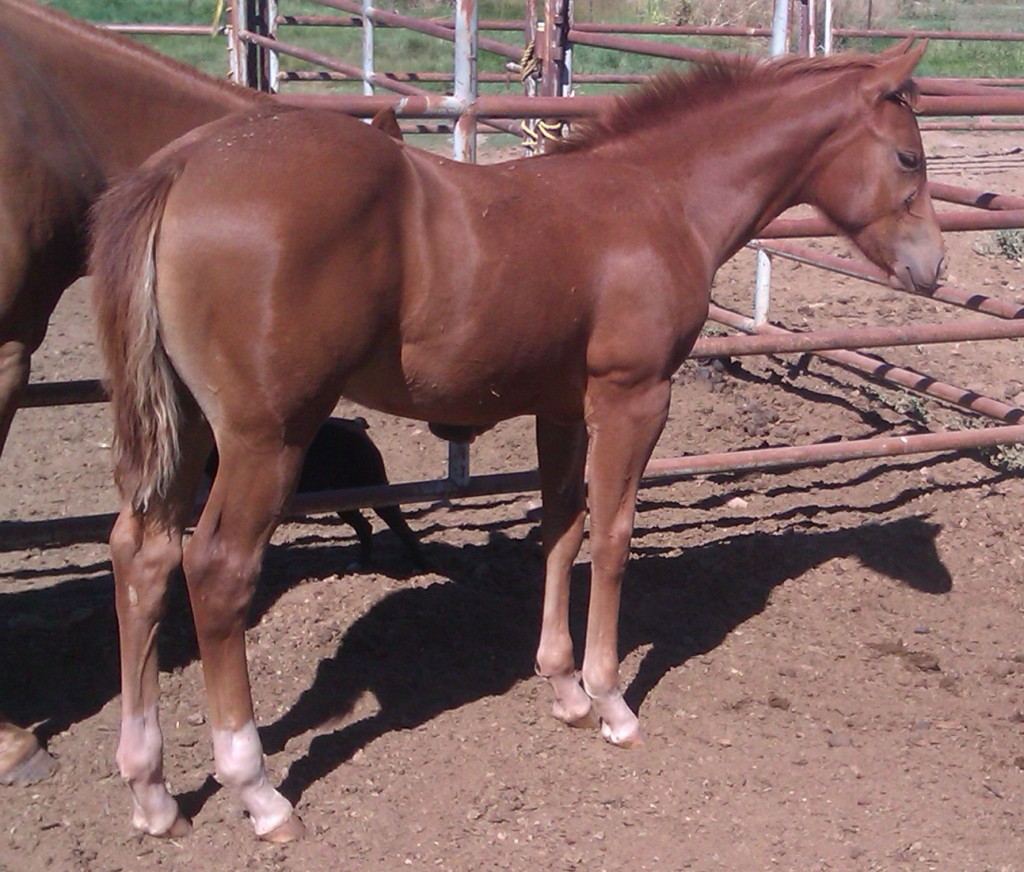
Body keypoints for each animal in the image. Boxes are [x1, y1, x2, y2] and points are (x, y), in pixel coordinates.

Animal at [89, 42, 943, 842]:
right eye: (908, 156)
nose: (932, 268)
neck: (660, 198)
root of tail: (185, 166)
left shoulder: (561, 409)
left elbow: (561, 531)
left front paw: (564, 689)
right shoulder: (634, 399)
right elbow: (614, 535)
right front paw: (611, 701)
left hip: (189, 428)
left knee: (142, 554)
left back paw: (151, 790)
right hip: (268, 436)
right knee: (216, 570)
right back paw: (258, 792)